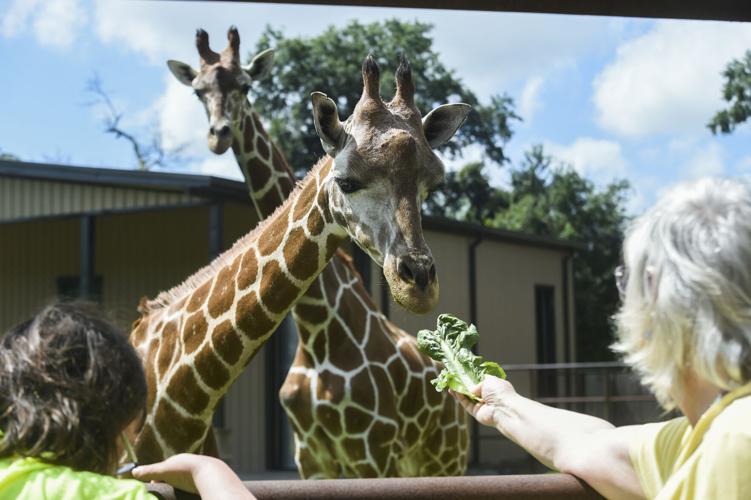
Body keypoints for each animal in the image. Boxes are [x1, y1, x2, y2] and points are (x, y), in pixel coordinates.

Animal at [129, 29, 471, 470]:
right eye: (199, 91)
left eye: (434, 183)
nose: (419, 286)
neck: (318, 333)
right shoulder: (310, 456)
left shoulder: (370, 451)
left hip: (444, 458)